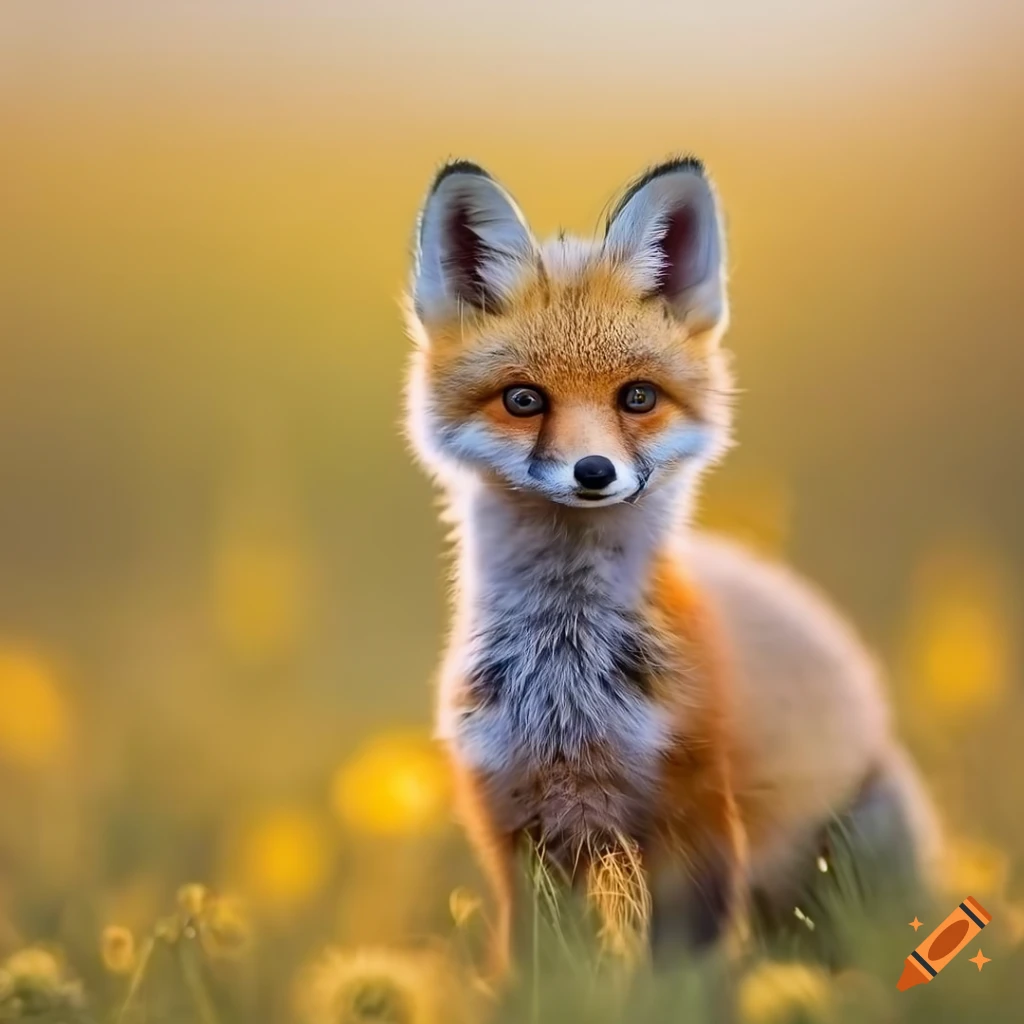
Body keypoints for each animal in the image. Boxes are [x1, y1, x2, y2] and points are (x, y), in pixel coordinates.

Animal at [402, 156, 939, 980]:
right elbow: (539, 978)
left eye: (637, 397)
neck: (567, 683)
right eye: (523, 400)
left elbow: (683, 981)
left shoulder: (697, 822)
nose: (593, 472)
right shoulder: (517, 833)